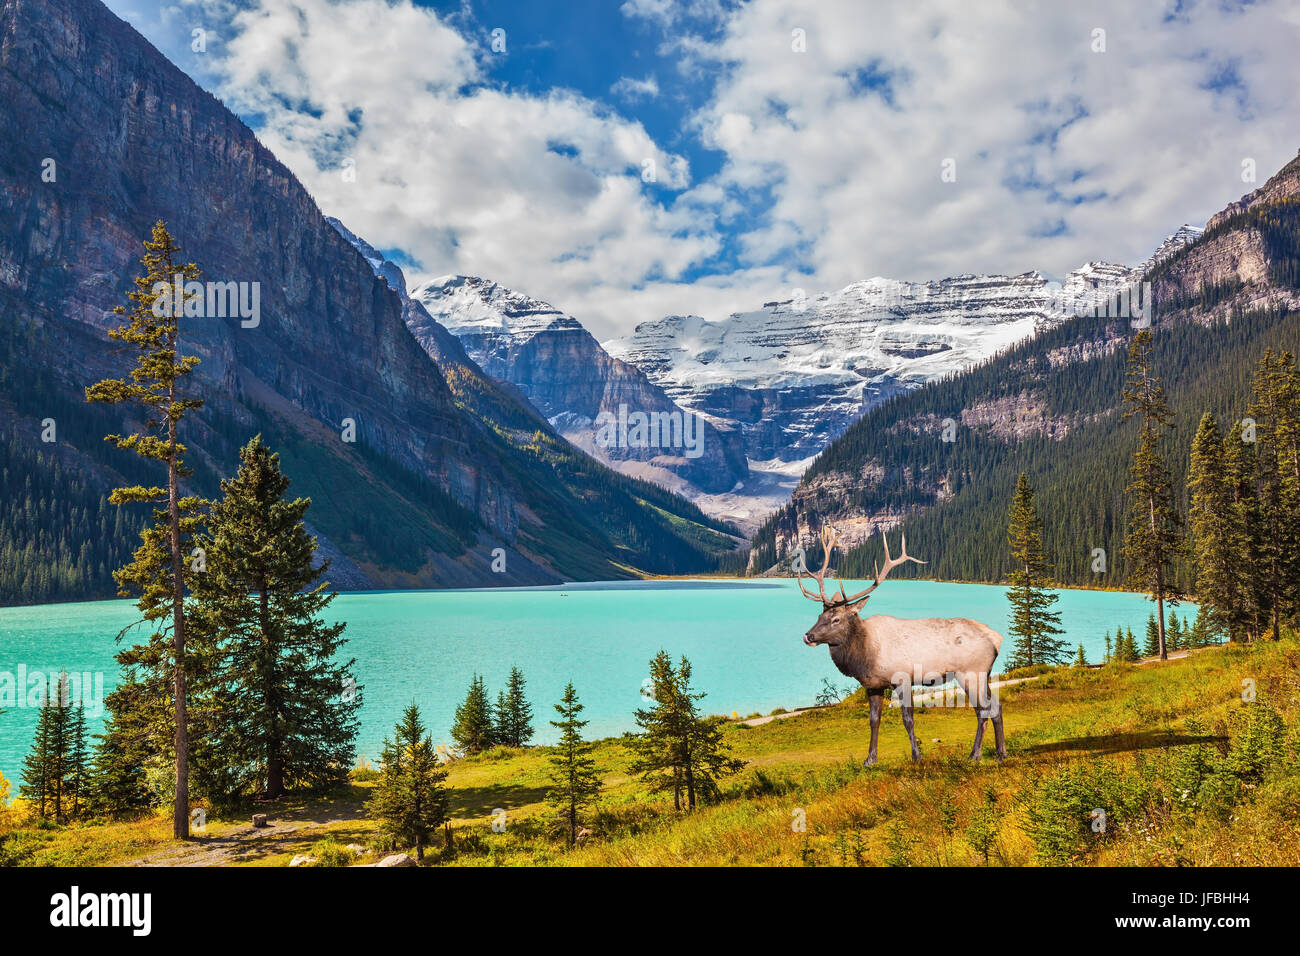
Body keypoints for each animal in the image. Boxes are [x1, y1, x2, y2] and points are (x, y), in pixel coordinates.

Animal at [797, 525, 1006, 765]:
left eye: (836, 619)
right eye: (820, 615)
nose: (808, 636)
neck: (866, 654)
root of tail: (996, 638)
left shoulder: (903, 678)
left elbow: (908, 719)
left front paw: (917, 757)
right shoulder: (873, 685)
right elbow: (874, 720)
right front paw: (870, 759)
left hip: (972, 672)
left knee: (984, 710)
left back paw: (977, 754)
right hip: (983, 674)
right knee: (995, 707)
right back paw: (998, 753)